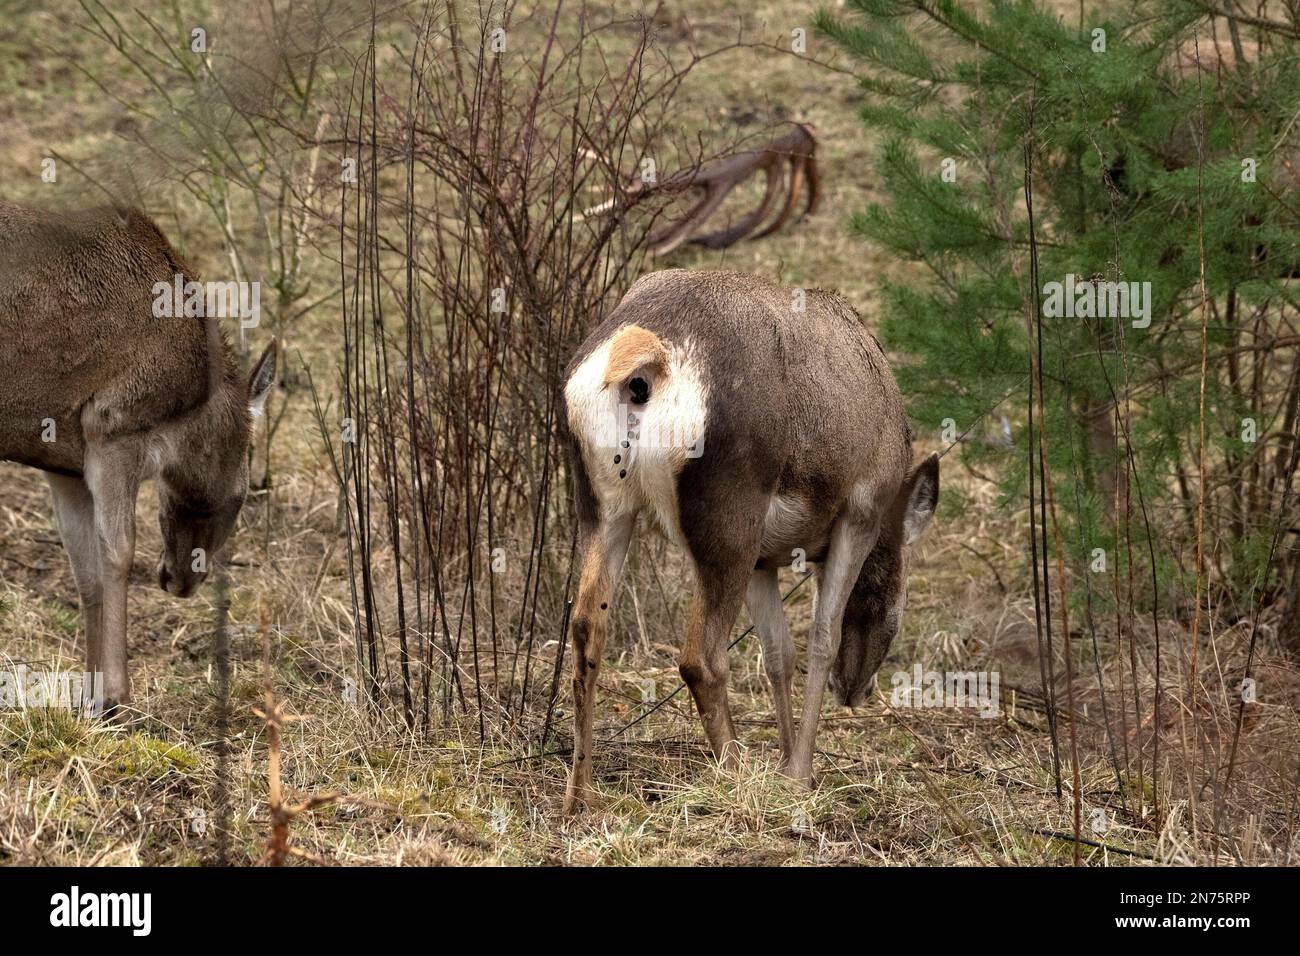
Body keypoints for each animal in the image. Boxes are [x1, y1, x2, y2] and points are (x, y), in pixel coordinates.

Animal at [0, 200, 276, 715]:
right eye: (243, 496)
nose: (181, 579)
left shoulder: (63, 465)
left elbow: (85, 572)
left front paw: (88, 699)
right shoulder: (112, 429)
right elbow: (118, 553)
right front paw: (116, 698)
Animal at [560, 269, 938, 812]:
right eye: (893, 603)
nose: (855, 689)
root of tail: (640, 357)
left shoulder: (765, 557)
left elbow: (777, 653)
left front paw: (786, 762)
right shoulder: (860, 509)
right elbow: (821, 637)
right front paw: (799, 775)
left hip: (602, 502)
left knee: (587, 625)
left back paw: (580, 796)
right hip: (729, 509)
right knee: (700, 658)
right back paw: (737, 774)